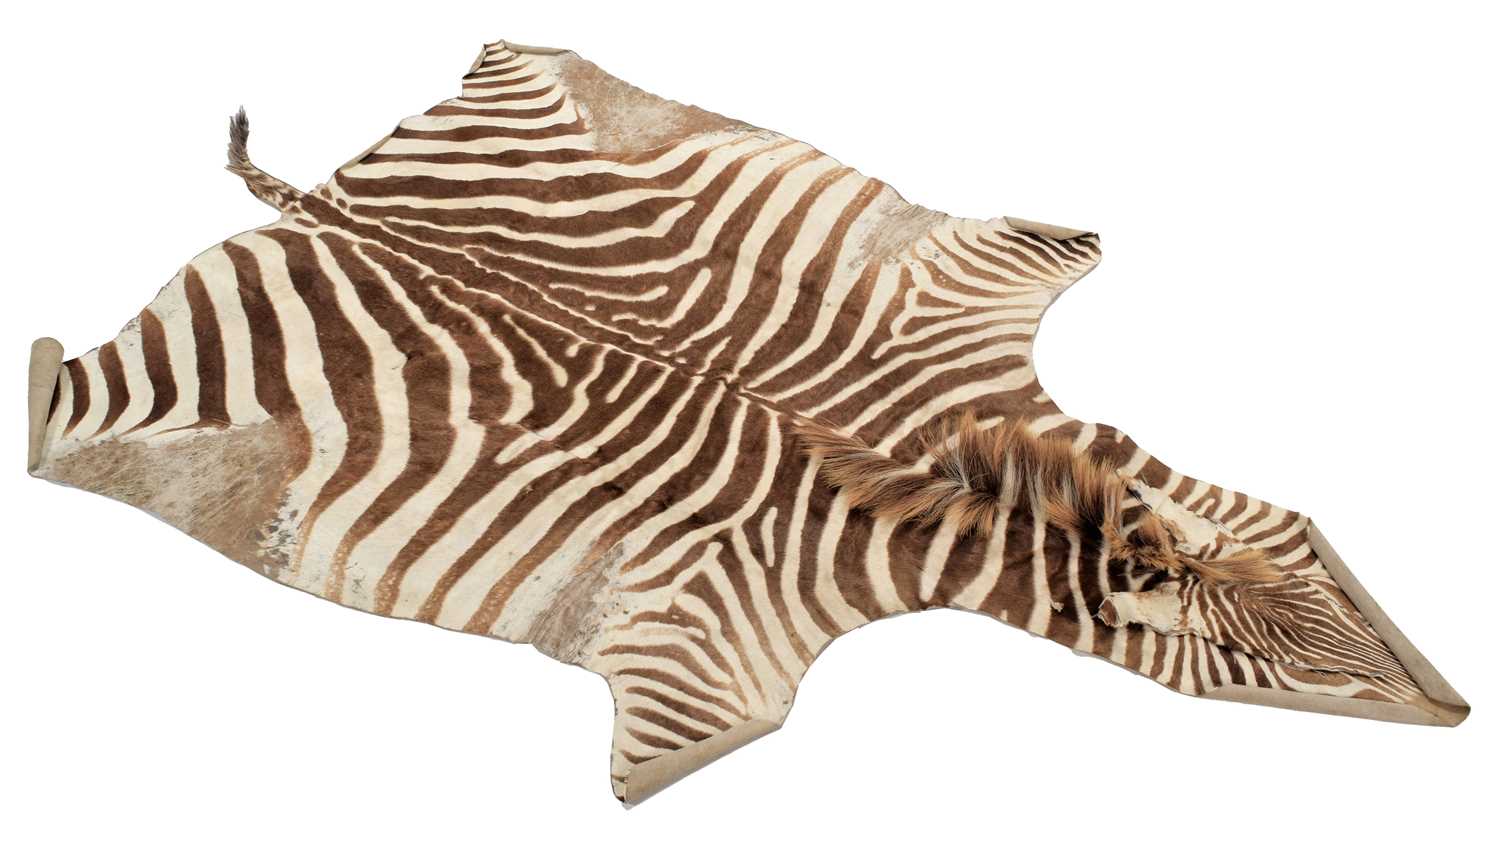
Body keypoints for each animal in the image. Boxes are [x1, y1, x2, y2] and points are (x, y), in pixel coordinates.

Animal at [26, 39, 1466, 804]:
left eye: (1316, 557)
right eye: (1242, 667)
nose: (1452, 707)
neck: (945, 477)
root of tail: (330, 201)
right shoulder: (709, 637)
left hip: (531, 91)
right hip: (125, 410)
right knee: (59, 402)